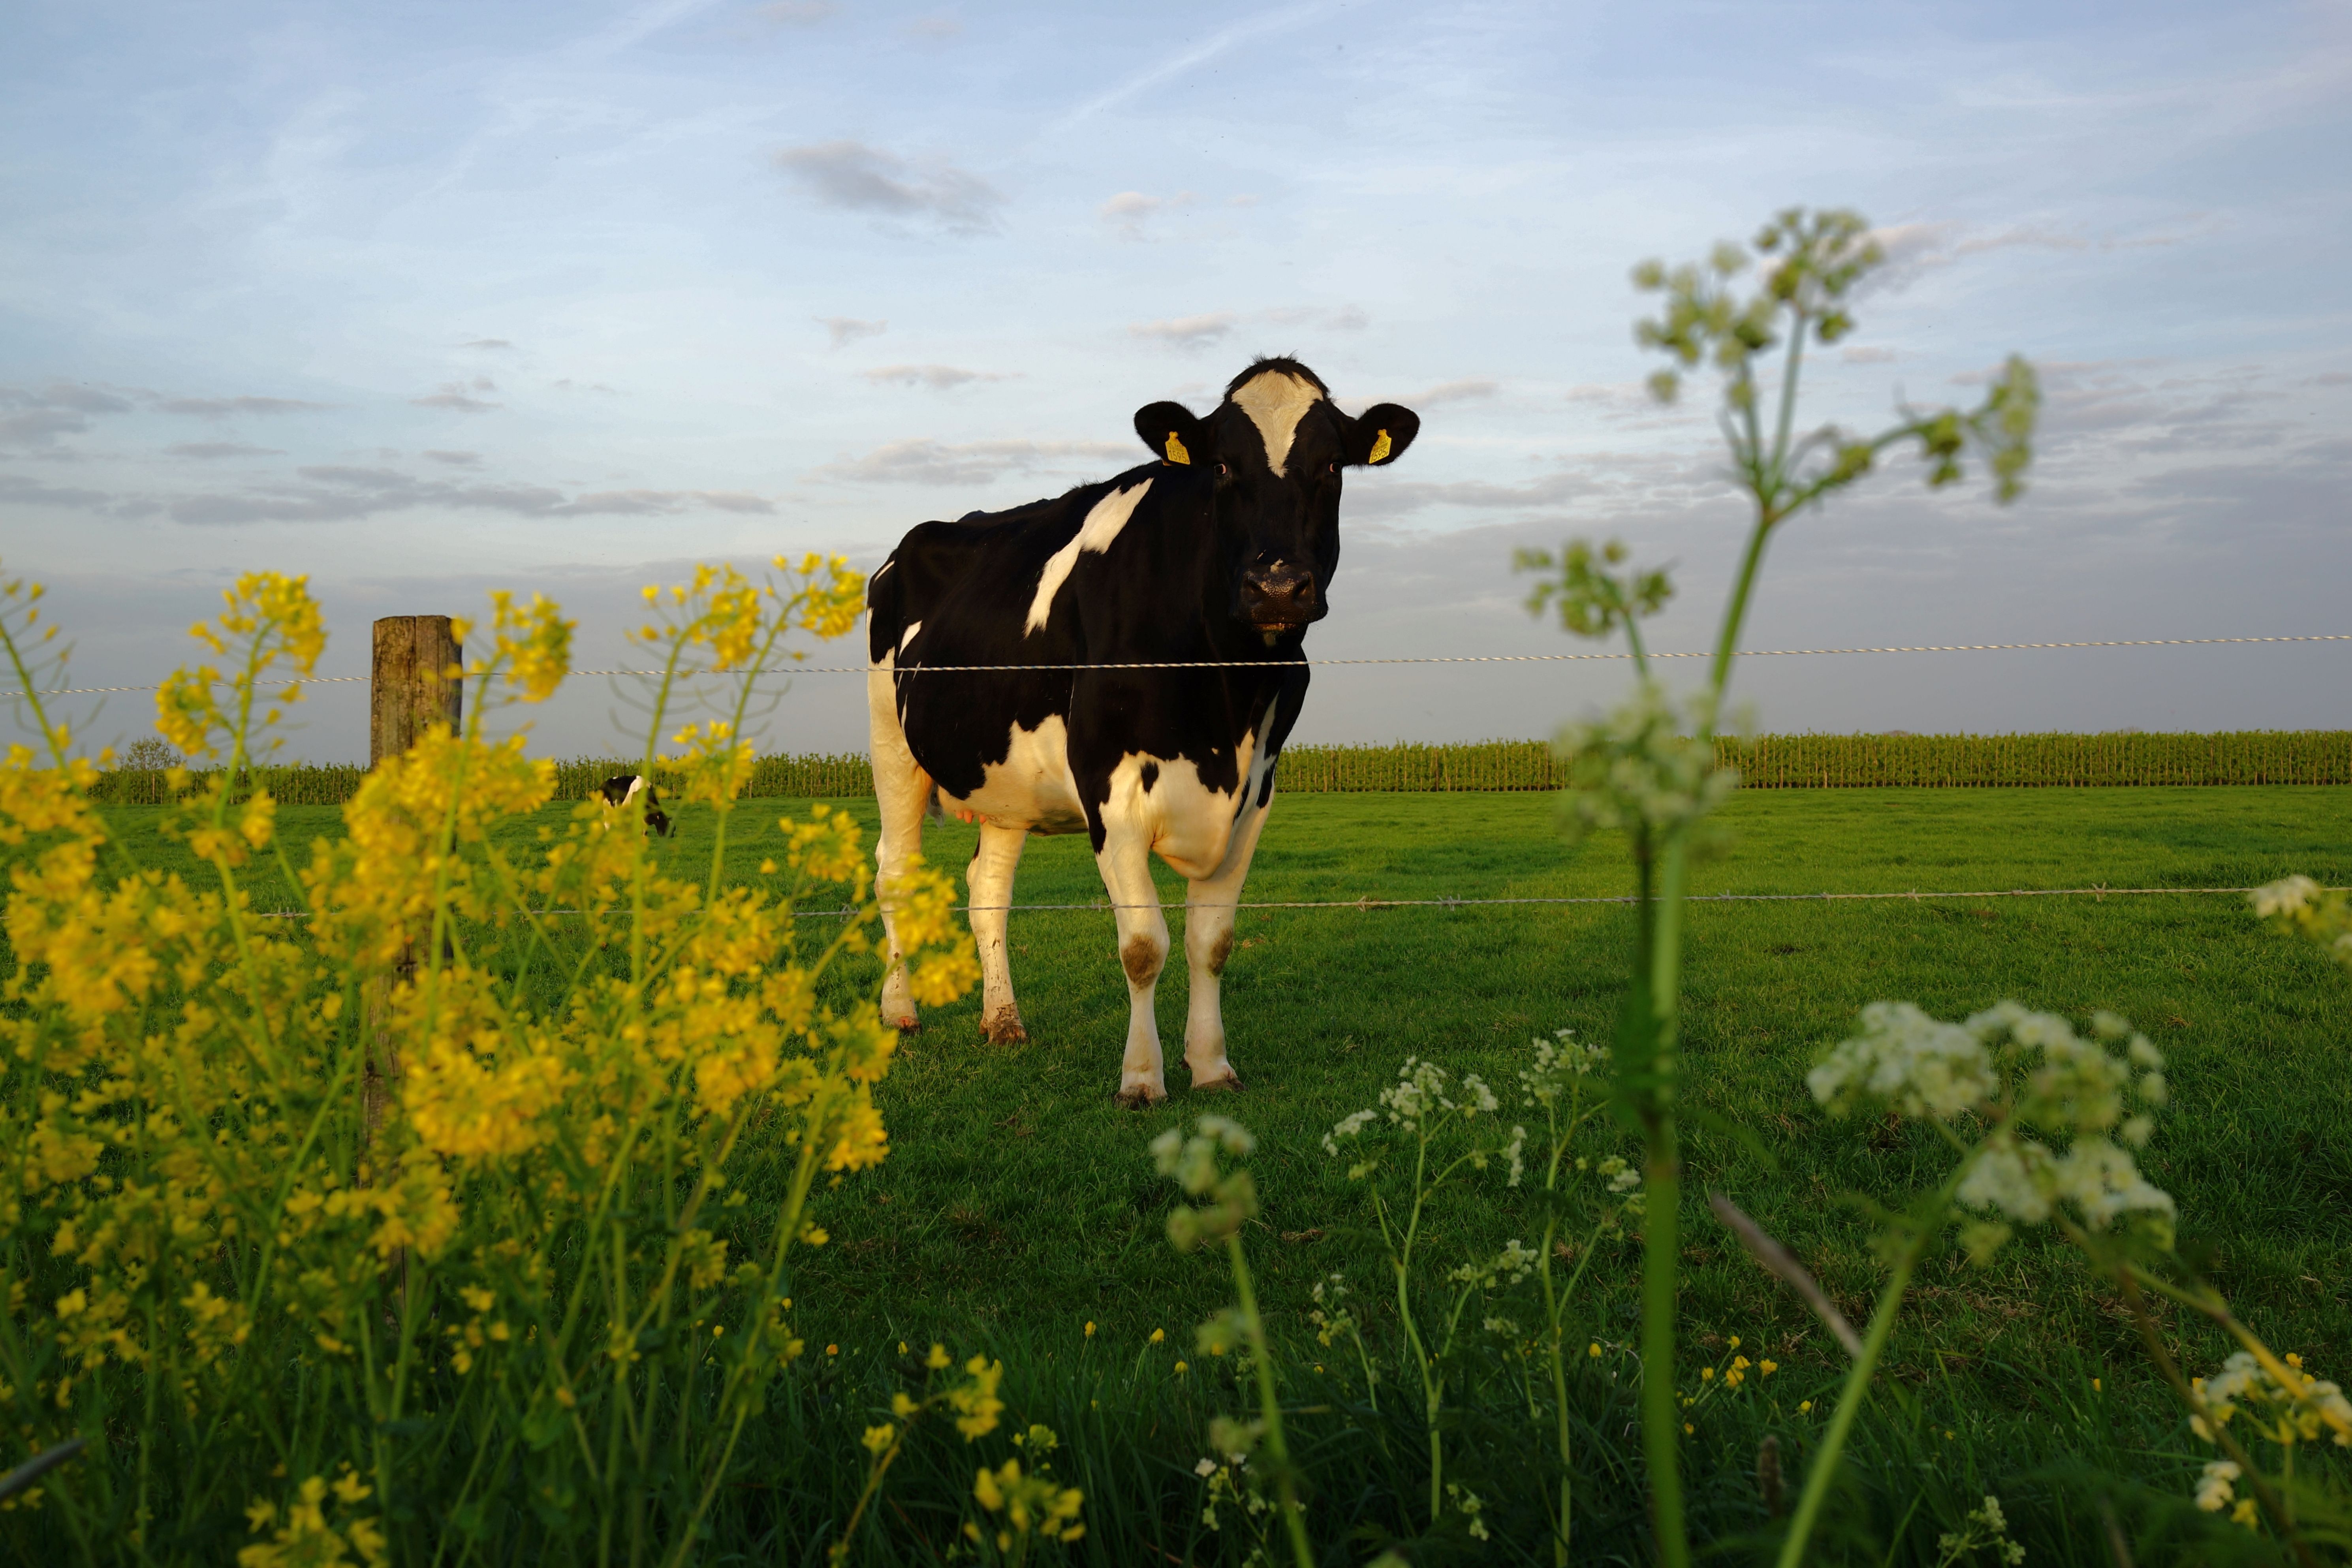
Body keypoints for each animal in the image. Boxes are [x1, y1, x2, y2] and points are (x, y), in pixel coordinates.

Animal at [865, 356, 1421, 1106]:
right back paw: (900, 1011)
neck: (1225, 691)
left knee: (988, 888)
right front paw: (1141, 1078)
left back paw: (1003, 1019)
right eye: (1221, 466)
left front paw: (1211, 1066)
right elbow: (1142, 945)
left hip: (1005, 780)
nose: (1277, 588)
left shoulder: (1255, 791)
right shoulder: (1111, 789)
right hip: (892, 745)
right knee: (894, 871)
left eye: (1332, 464)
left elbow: (1211, 940)